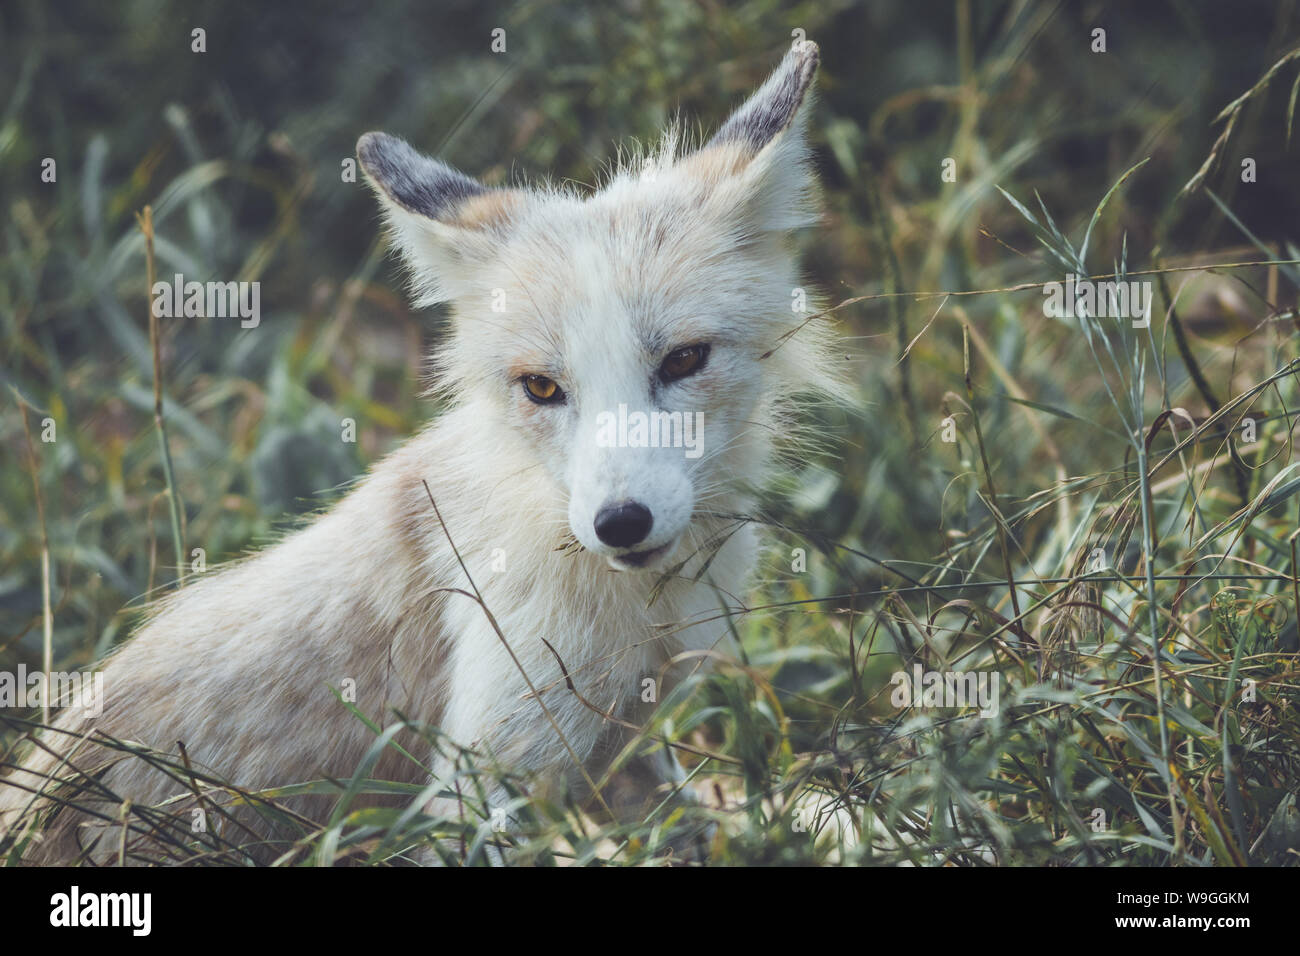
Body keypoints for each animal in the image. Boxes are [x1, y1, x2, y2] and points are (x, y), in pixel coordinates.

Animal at [0, 41, 841, 864]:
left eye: (683, 360)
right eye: (541, 387)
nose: (620, 523)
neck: (640, 608)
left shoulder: (644, 747)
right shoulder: (484, 779)